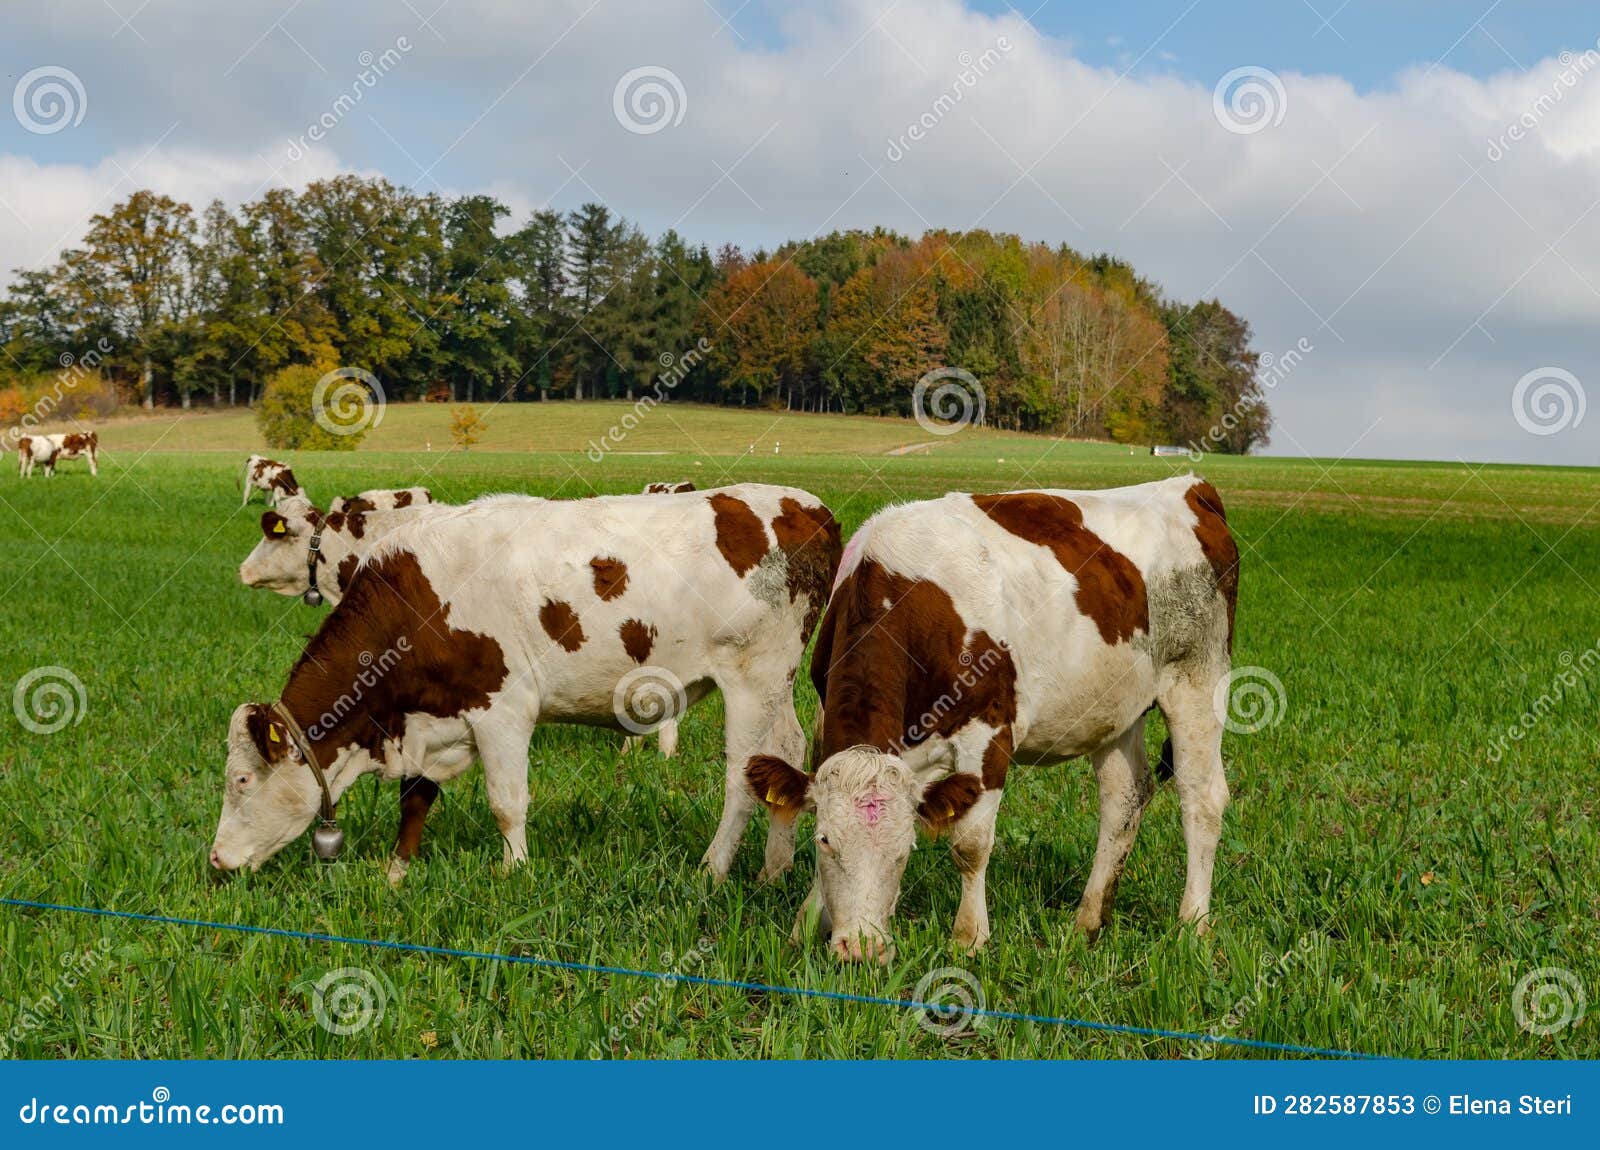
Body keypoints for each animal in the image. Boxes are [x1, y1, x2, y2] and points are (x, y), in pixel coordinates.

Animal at [210, 483, 842, 889]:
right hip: (775, 685)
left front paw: (514, 870)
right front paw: (396, 873)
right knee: (785, 754)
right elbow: (415, 797)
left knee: (743, 777)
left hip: (753, 678)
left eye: (241, 780)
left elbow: (506, 803)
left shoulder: (502, 709)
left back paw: (714, 868)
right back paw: (774, 868)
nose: (216, 860)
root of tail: (806, 505)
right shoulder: (429, 713)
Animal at [746, 476, 1239, 963]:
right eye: (826, 841)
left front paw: (969, 938)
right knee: (1125, 799)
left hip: (1198, 681)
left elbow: (970, 844)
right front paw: (806, 923)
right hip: (1116, 708)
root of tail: (1191, 486)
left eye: (904, 850)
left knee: (1202, 800)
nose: (862, 950)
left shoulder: (989, 735)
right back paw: (1087, 922)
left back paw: (1193, 924)